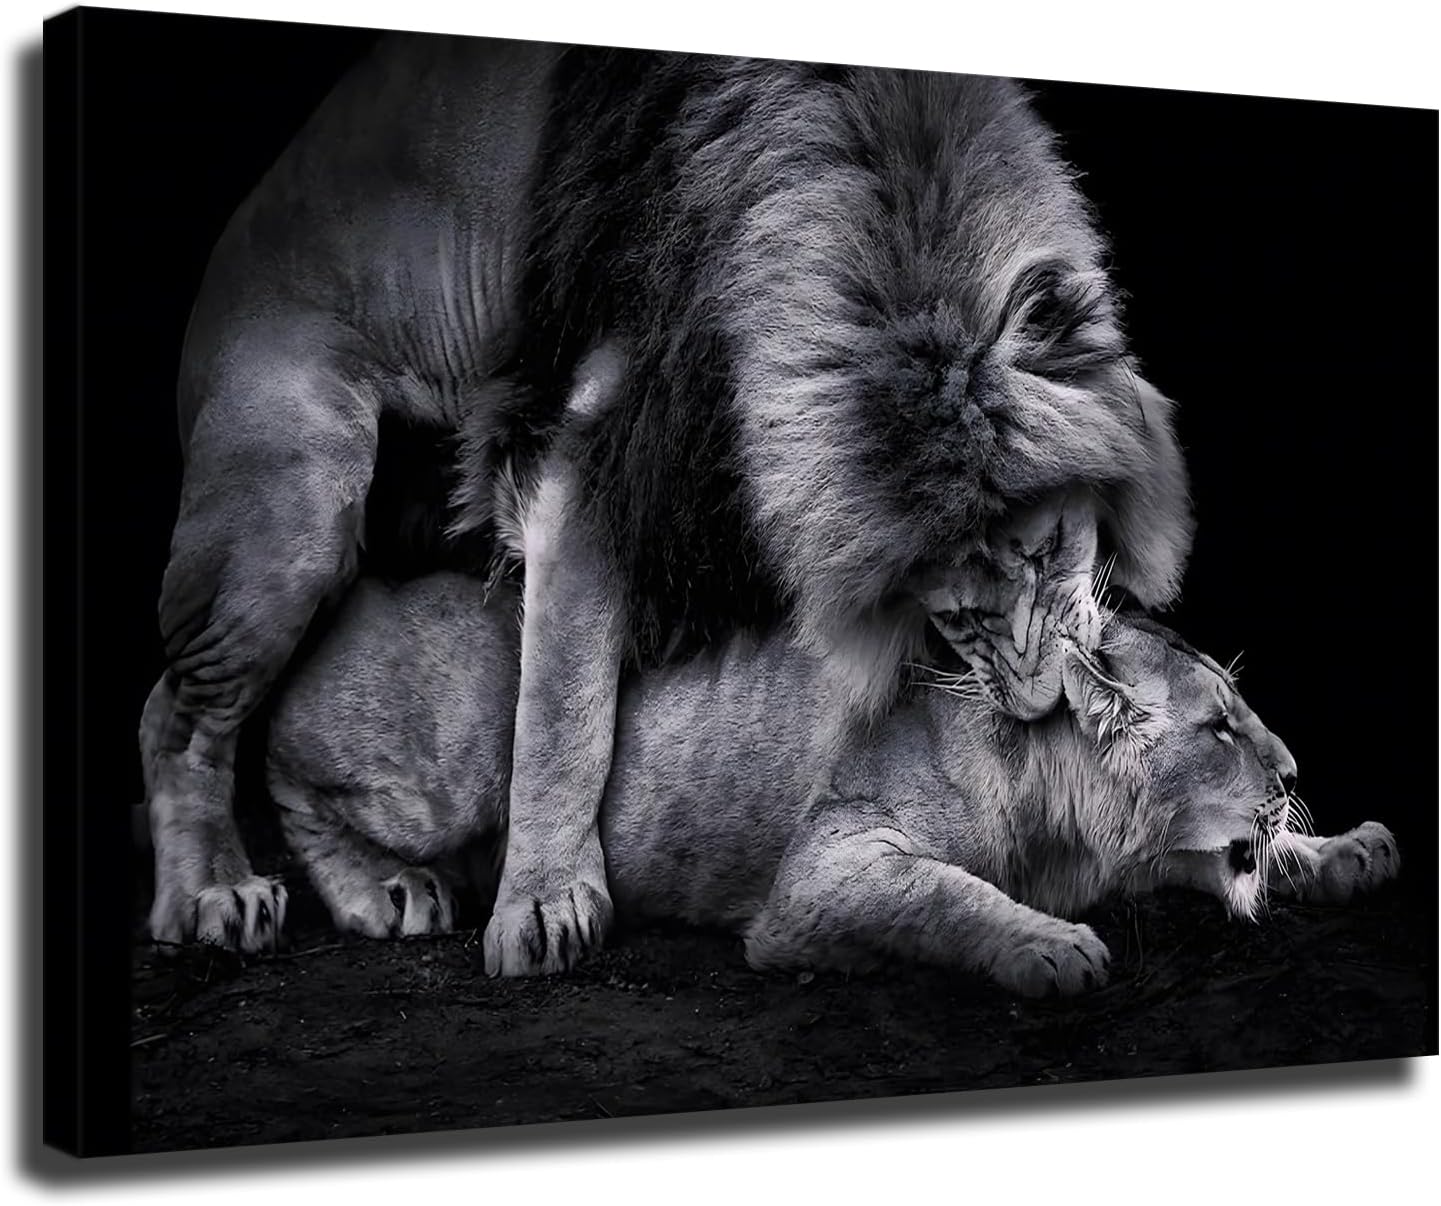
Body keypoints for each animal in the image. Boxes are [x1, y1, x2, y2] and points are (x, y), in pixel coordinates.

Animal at [143, 35, 1193, 973]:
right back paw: (220, 892)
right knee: (185, 713)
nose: (1041, 708)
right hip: (293, 500)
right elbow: (561, 714)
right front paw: (544, 905)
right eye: (954, 608)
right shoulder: (587, 446)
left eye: (1044, 551)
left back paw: (370, 890)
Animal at [262, 574, 1398, 995]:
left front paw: (1349, 849)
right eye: (1218, 727)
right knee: (273, 748)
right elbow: (947, 892)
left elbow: (1253, 863)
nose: (1293, 767)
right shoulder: (822, 872)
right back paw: (382, 894)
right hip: (453, 760)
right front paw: (1050, 949)